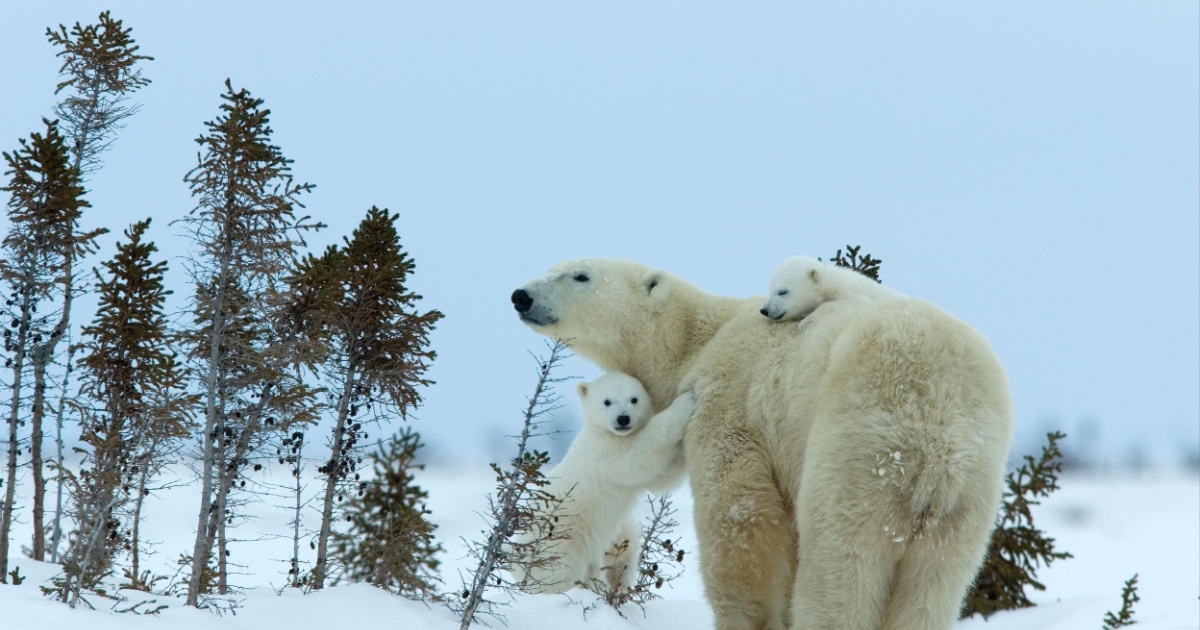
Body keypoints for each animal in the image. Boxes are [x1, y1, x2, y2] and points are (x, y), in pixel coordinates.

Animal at [511, 371, 695, 594]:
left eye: (634, 399)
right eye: (607, 401)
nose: (623, 418)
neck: (603, 431)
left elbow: (663, 476)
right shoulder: (604, 453)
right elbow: (638, 455)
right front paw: (685, 402)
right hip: (559, 544)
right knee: (560, 575)